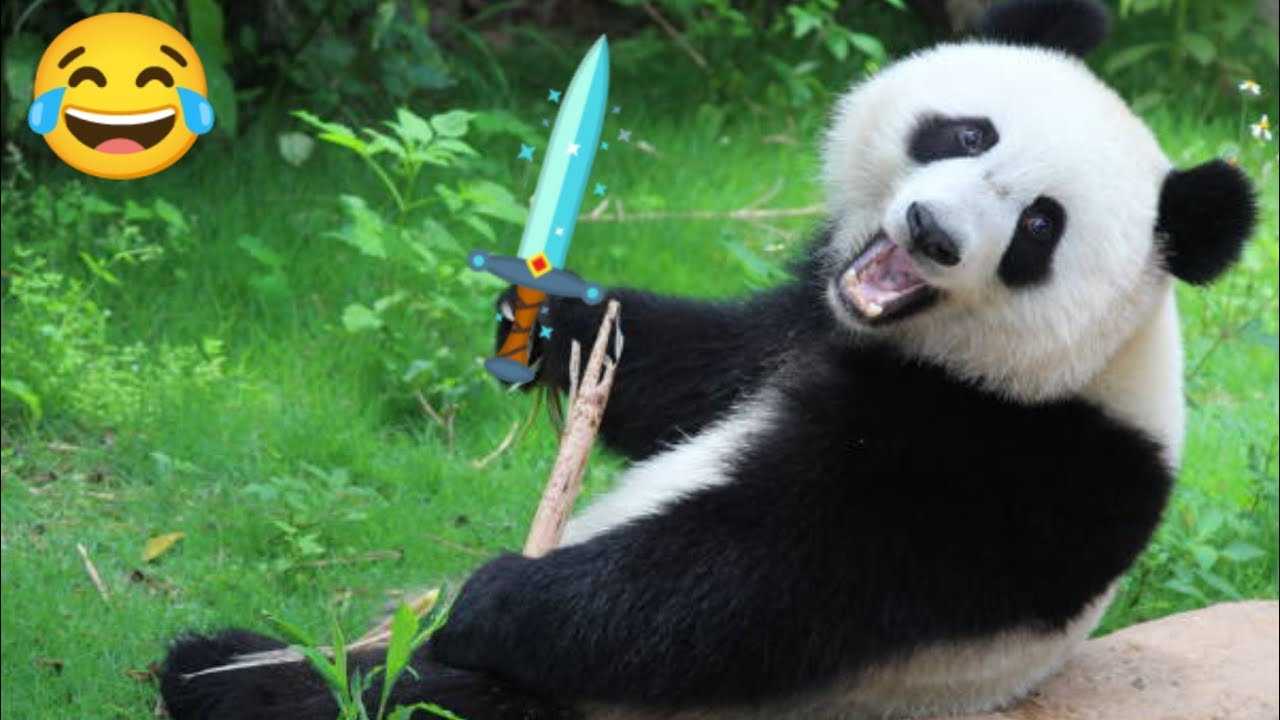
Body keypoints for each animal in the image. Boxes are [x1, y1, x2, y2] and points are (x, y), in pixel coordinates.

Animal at [159, 0, 1258, 718]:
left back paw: (232, 679)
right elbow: (696, 370)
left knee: (401, 697)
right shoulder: (808, 321)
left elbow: (751, 581)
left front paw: (500, 597)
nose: (934, 234)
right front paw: (547, 314)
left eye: (1038, 225)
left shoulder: (1010, 468)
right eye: (962, 131)